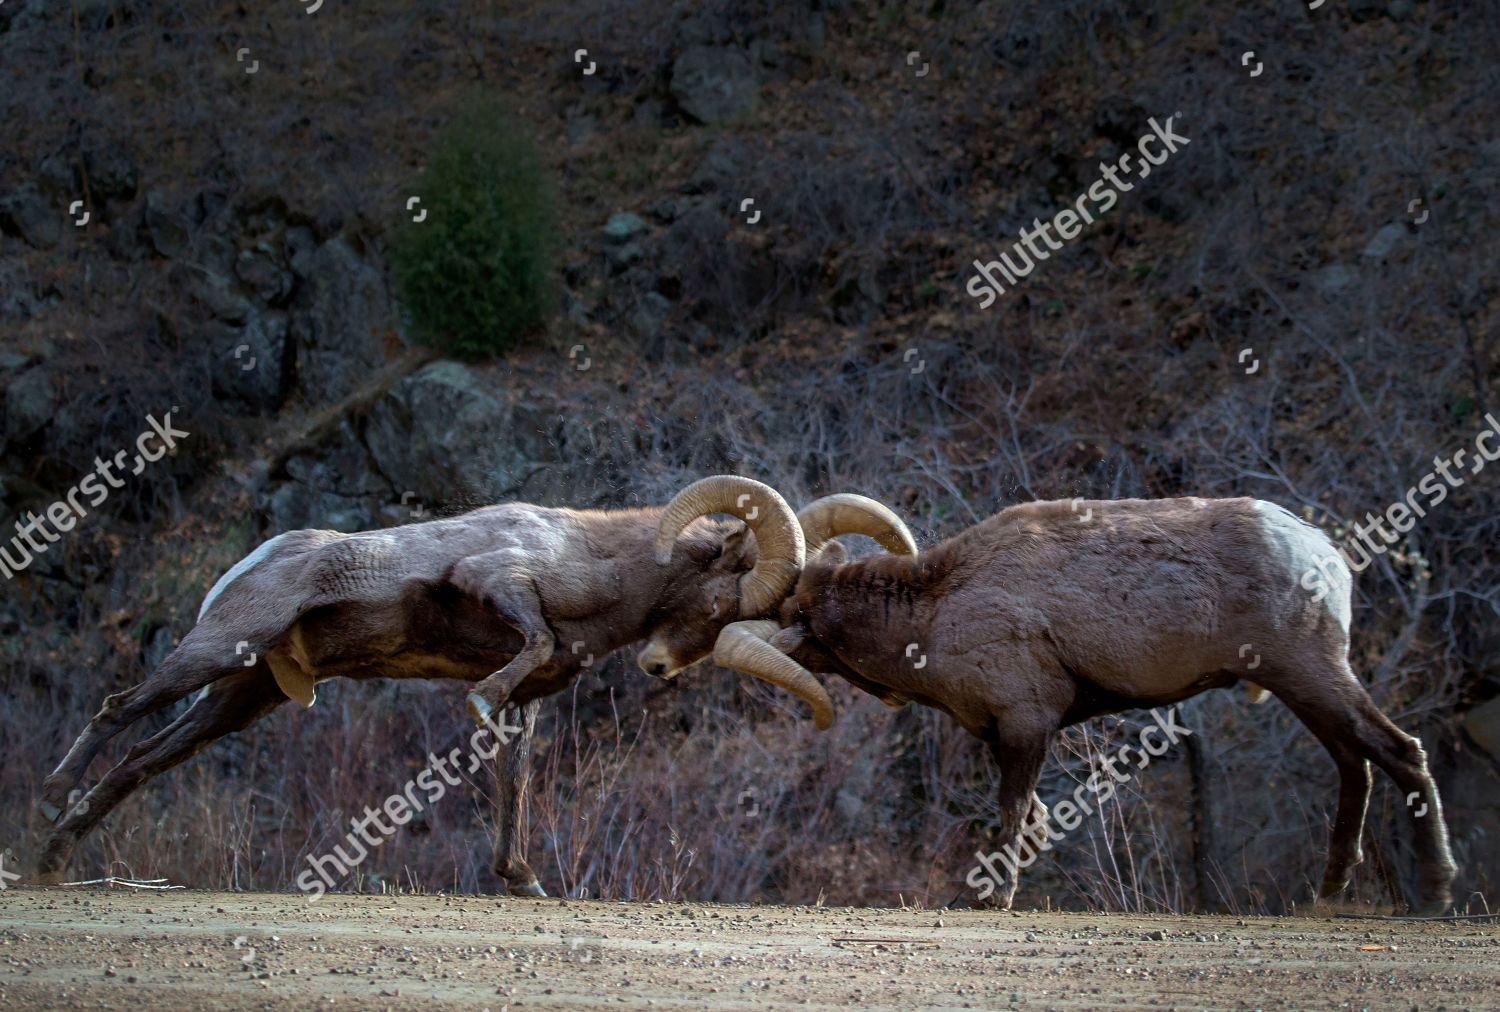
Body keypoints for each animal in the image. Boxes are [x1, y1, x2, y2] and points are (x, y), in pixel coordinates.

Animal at [35, 476, 916, 892]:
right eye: (718, 601)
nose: (658, 668)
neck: (602, 568)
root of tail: (249, 567)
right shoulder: (503, 586)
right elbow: (514, 664)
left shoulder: (532, 711)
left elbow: (510, 780)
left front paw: (522, 880)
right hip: (221, 652)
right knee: (118, 709)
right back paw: (47, 806)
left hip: (239, 700)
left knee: (142, 763)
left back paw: (53, 856)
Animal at [693, 496, 1459, 914]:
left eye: (793, 613)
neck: (932, 616)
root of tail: (1321, 551)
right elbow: (1028, 821)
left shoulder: (1026, 726)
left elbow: (1011, 817)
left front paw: (990, 897)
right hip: (1309, 688)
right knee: (1356, 765)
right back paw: (1330, 891)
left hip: (1311, 674)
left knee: (1399, 753)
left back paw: (1436, 892)